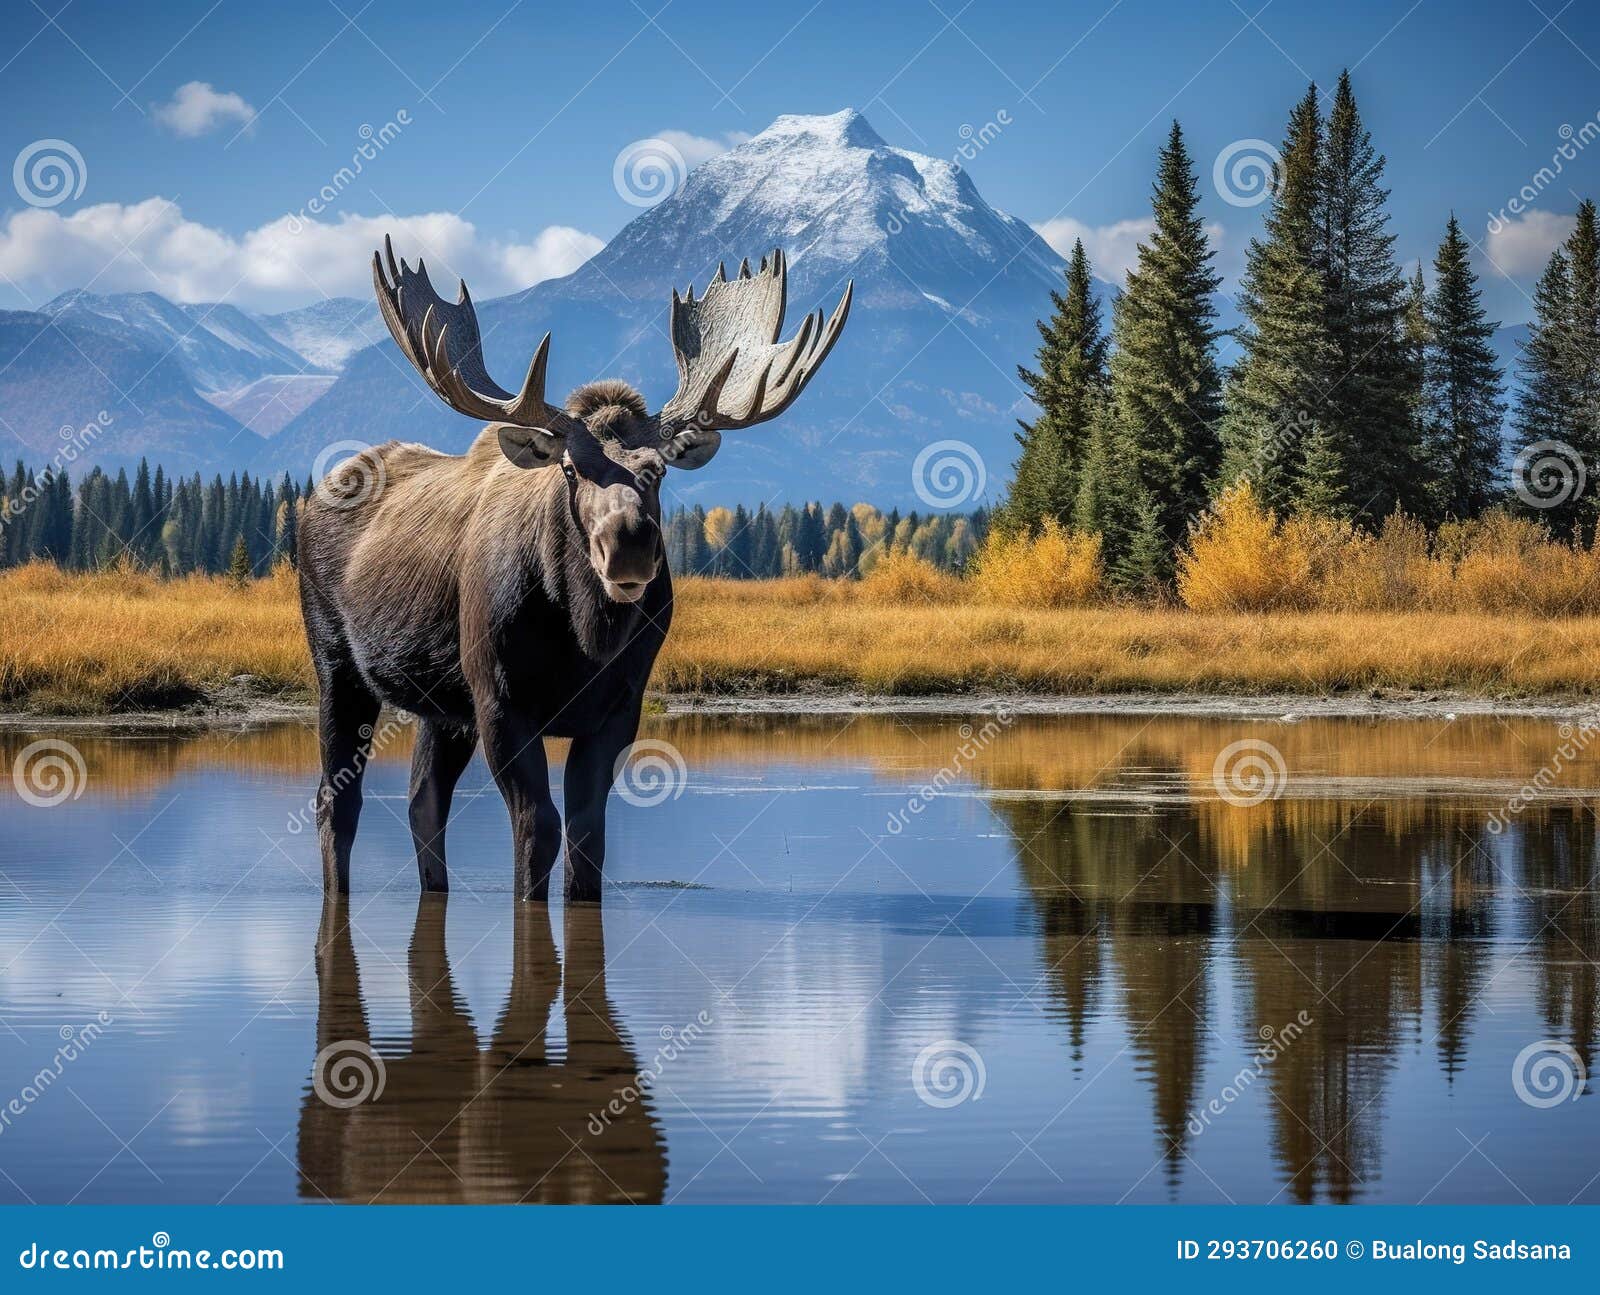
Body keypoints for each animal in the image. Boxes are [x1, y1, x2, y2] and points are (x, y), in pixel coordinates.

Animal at [297, 237, 850, 902]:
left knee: (422, 802)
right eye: (569, 467)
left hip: (440, 705)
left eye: (658, 468)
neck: (583, 638)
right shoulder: (501, 700)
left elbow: (588, 837)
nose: (630, 546)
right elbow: (539, 829)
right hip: (335, 661)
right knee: (336, 800)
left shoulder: (618, 709)